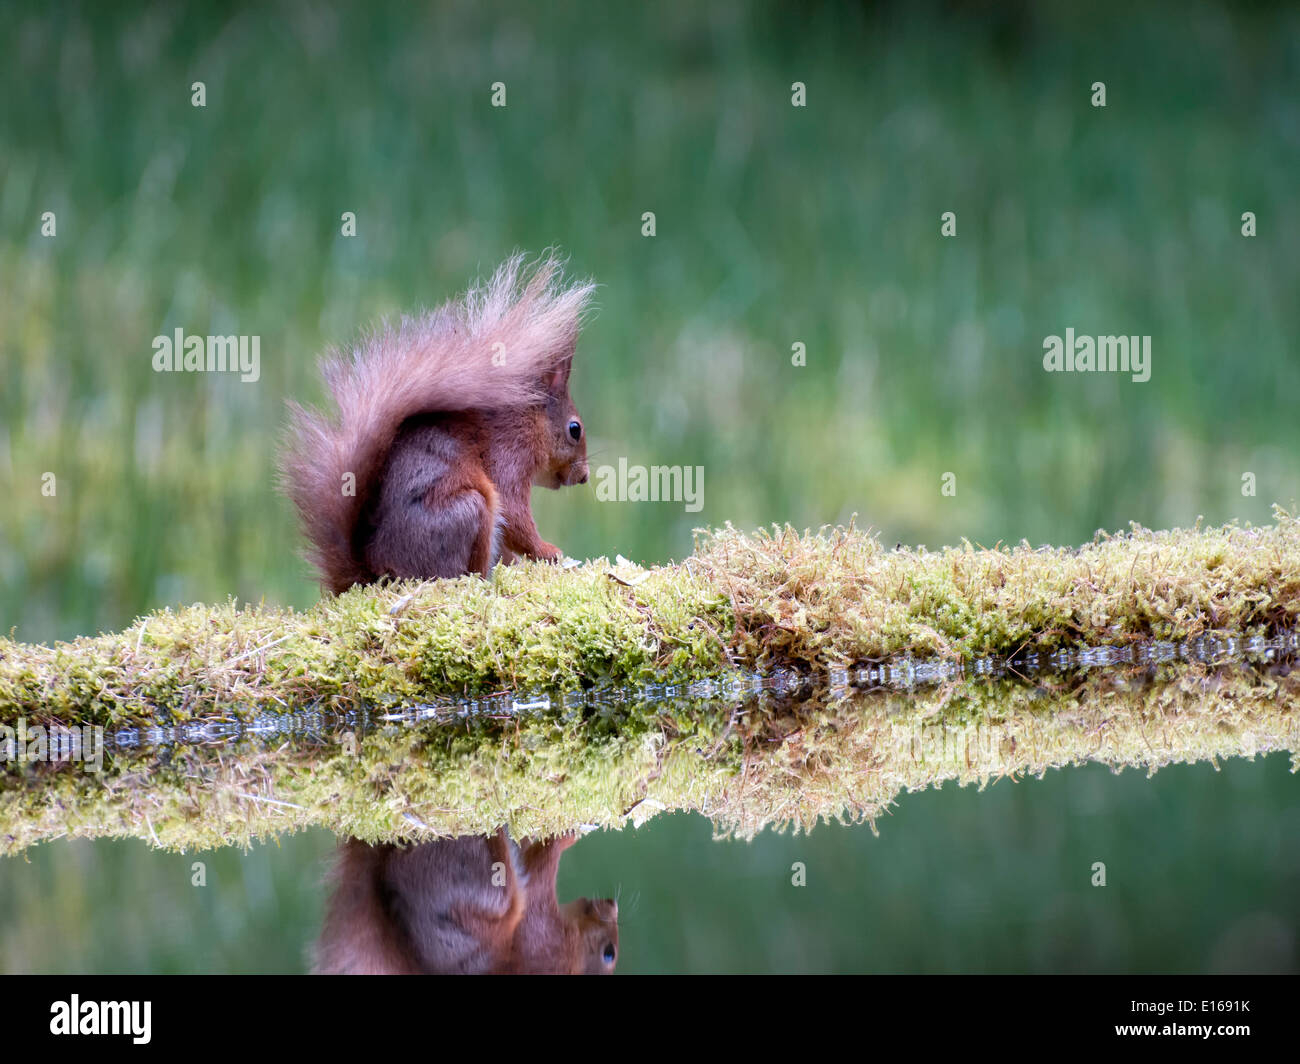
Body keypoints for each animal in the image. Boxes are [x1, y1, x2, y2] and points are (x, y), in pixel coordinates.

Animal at [279, 251, 595, 594]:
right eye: (574, 430)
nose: (584, 477)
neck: (529, 423)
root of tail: (377, 576)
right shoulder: (512, 455)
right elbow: (515, 514)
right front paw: (548, 551)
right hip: (470, 508)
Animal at [314, 830, 619, 975]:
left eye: (610, 954)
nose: (611, 904)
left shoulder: (541, 935)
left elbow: (541, 869)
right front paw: (566, 836)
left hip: (487, 891)